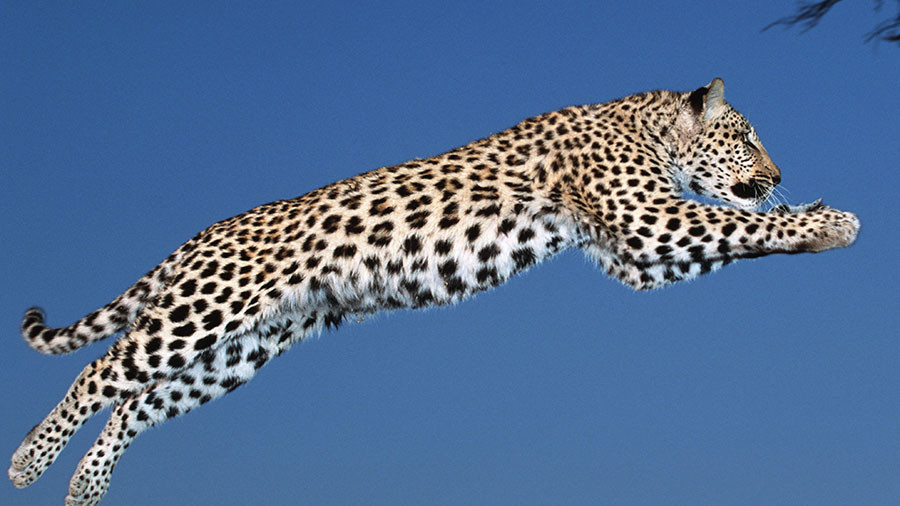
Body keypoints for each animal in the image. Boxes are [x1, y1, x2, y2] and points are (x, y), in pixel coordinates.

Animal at [9, 78, 859, 505]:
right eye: (746, 136)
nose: (778, 173)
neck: (648, 129)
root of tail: (202, 235)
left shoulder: (637, 254)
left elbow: (734, 234)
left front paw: (815, 224)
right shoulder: (647, 218)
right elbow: (733, 222)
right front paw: (831, 218)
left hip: (240, 347)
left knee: (136, 400)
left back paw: (85, 486)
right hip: (203, 308)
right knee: (101, 369)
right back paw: (27, 462)